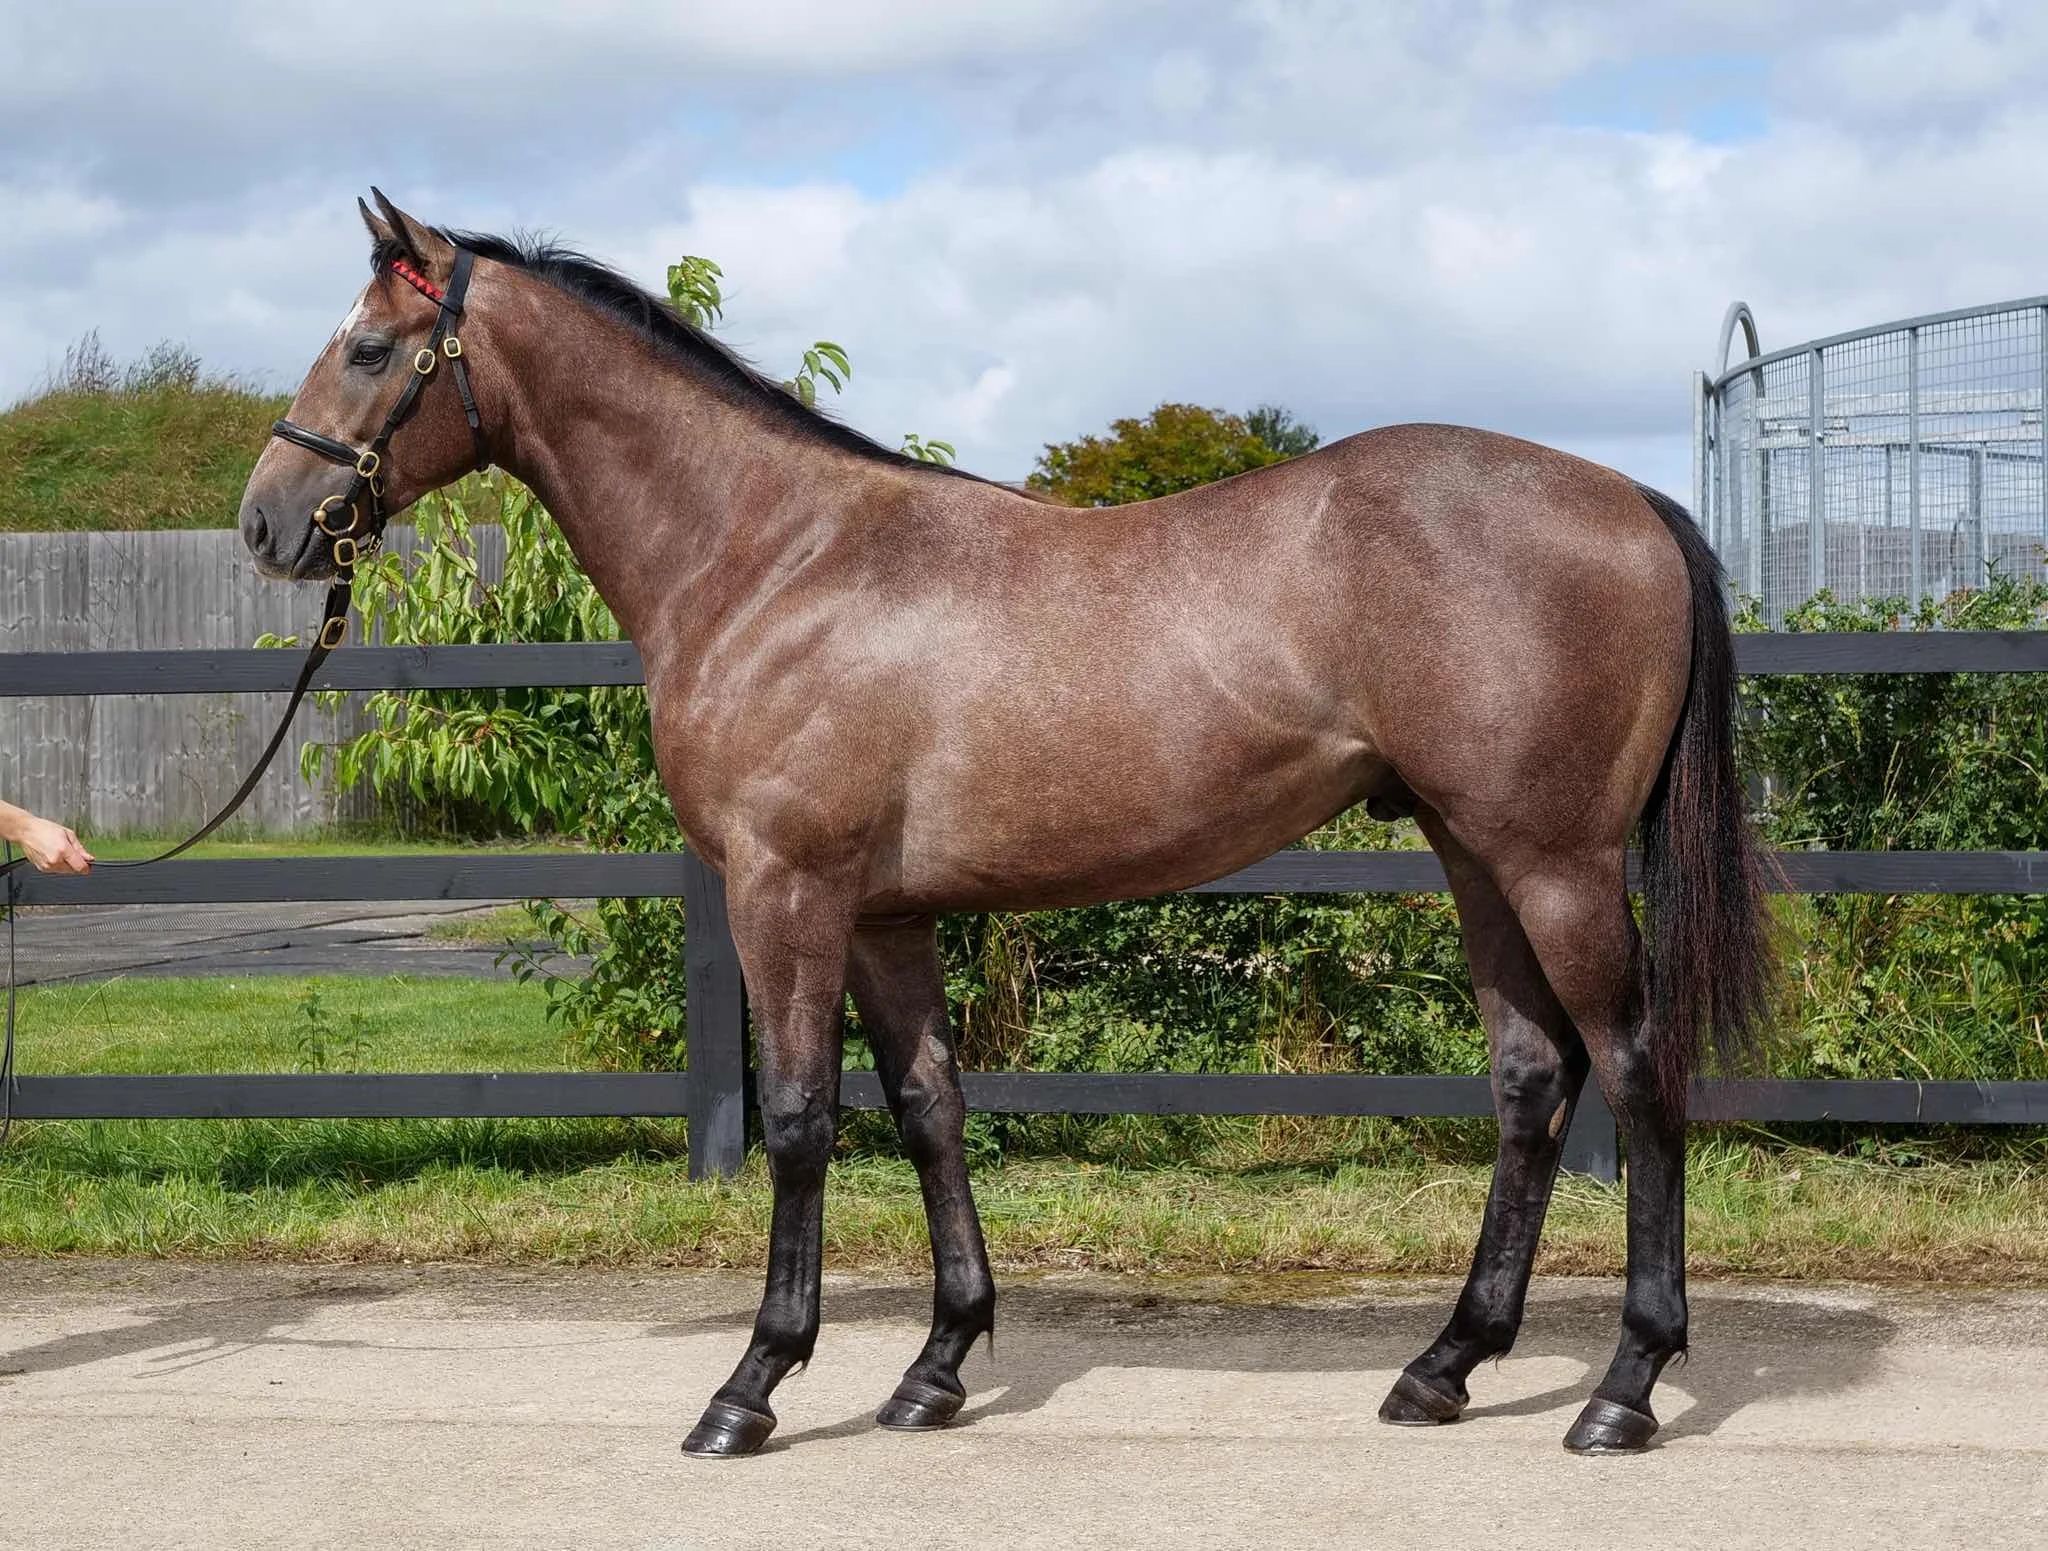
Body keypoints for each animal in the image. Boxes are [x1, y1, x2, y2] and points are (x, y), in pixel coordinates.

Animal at [239, 190, 1774, 1459]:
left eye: (368, 349)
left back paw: (1623, 1389)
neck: (773, 557)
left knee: (1638, 1074)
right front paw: (934, 1368)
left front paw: (753, 1386)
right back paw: (1445, 1363)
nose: (267, 523)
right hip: (1472, 854)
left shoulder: (785, 891)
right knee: (1531, 1078)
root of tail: (1631, 496)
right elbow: (930, 1109)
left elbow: (798, 1120)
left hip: (1554, 864)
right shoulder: (884, 914)